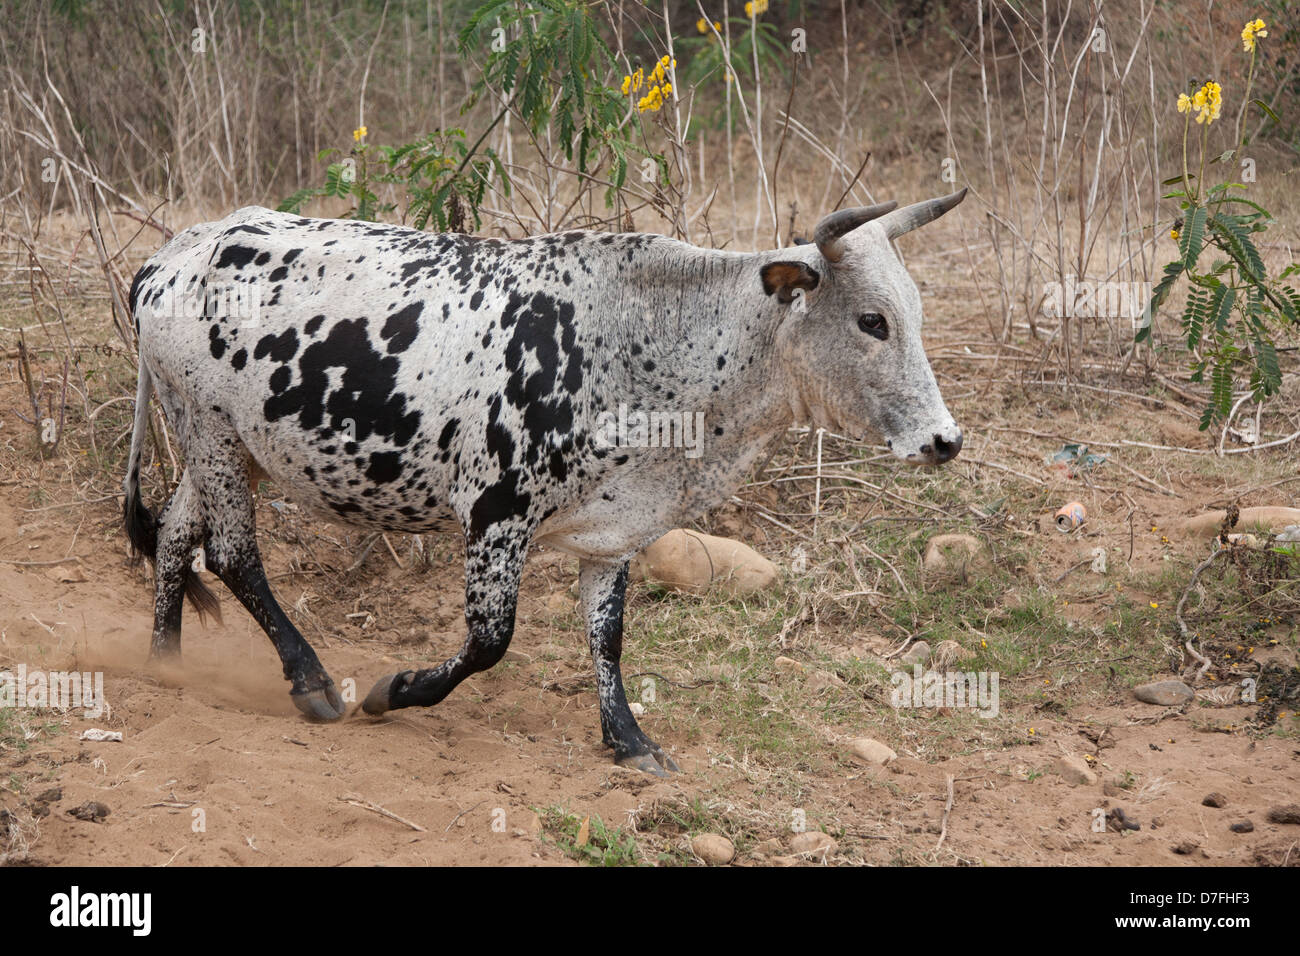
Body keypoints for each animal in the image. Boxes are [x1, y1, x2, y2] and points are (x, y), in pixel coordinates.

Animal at [122, 189, 966, 775]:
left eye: (914, 314)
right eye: (872, 321)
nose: (944, 441)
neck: (649, 338)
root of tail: (174, 255)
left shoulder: (613, 533)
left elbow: (607, 639)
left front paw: (629, 741)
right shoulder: (497, 513)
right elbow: (489, 640)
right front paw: (395, 691)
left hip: (222, 447)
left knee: (175, 534)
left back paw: (164, 665)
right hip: (212, 435)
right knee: (232, 555)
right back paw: (311, 682)